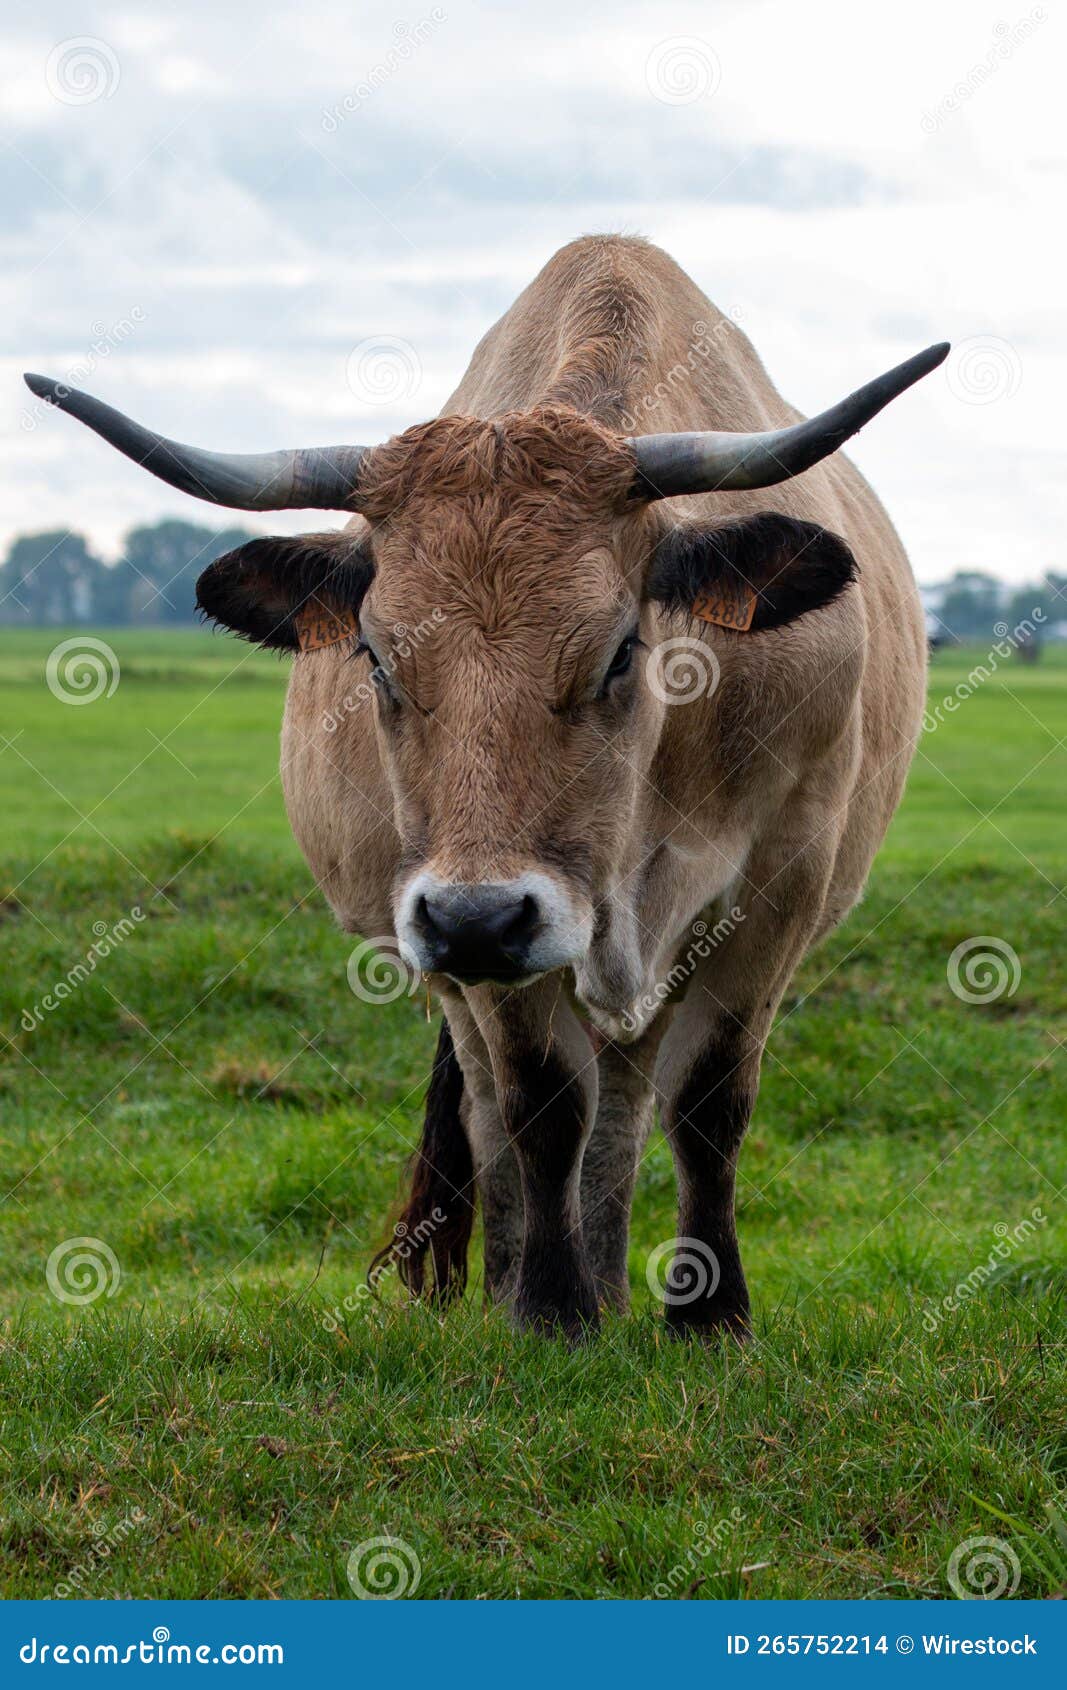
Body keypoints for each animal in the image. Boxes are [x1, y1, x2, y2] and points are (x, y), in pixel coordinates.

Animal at [26, 235, 945, 1342]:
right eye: (376, 659)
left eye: (619, 652)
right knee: (504, 1108)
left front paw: (709, 1312)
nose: (473, 918)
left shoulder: (779, 886)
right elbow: (539, 1105)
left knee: (628, 1099)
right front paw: (547, 1306)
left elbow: (708, 1106)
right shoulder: (489, 933)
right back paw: (531, 1280)